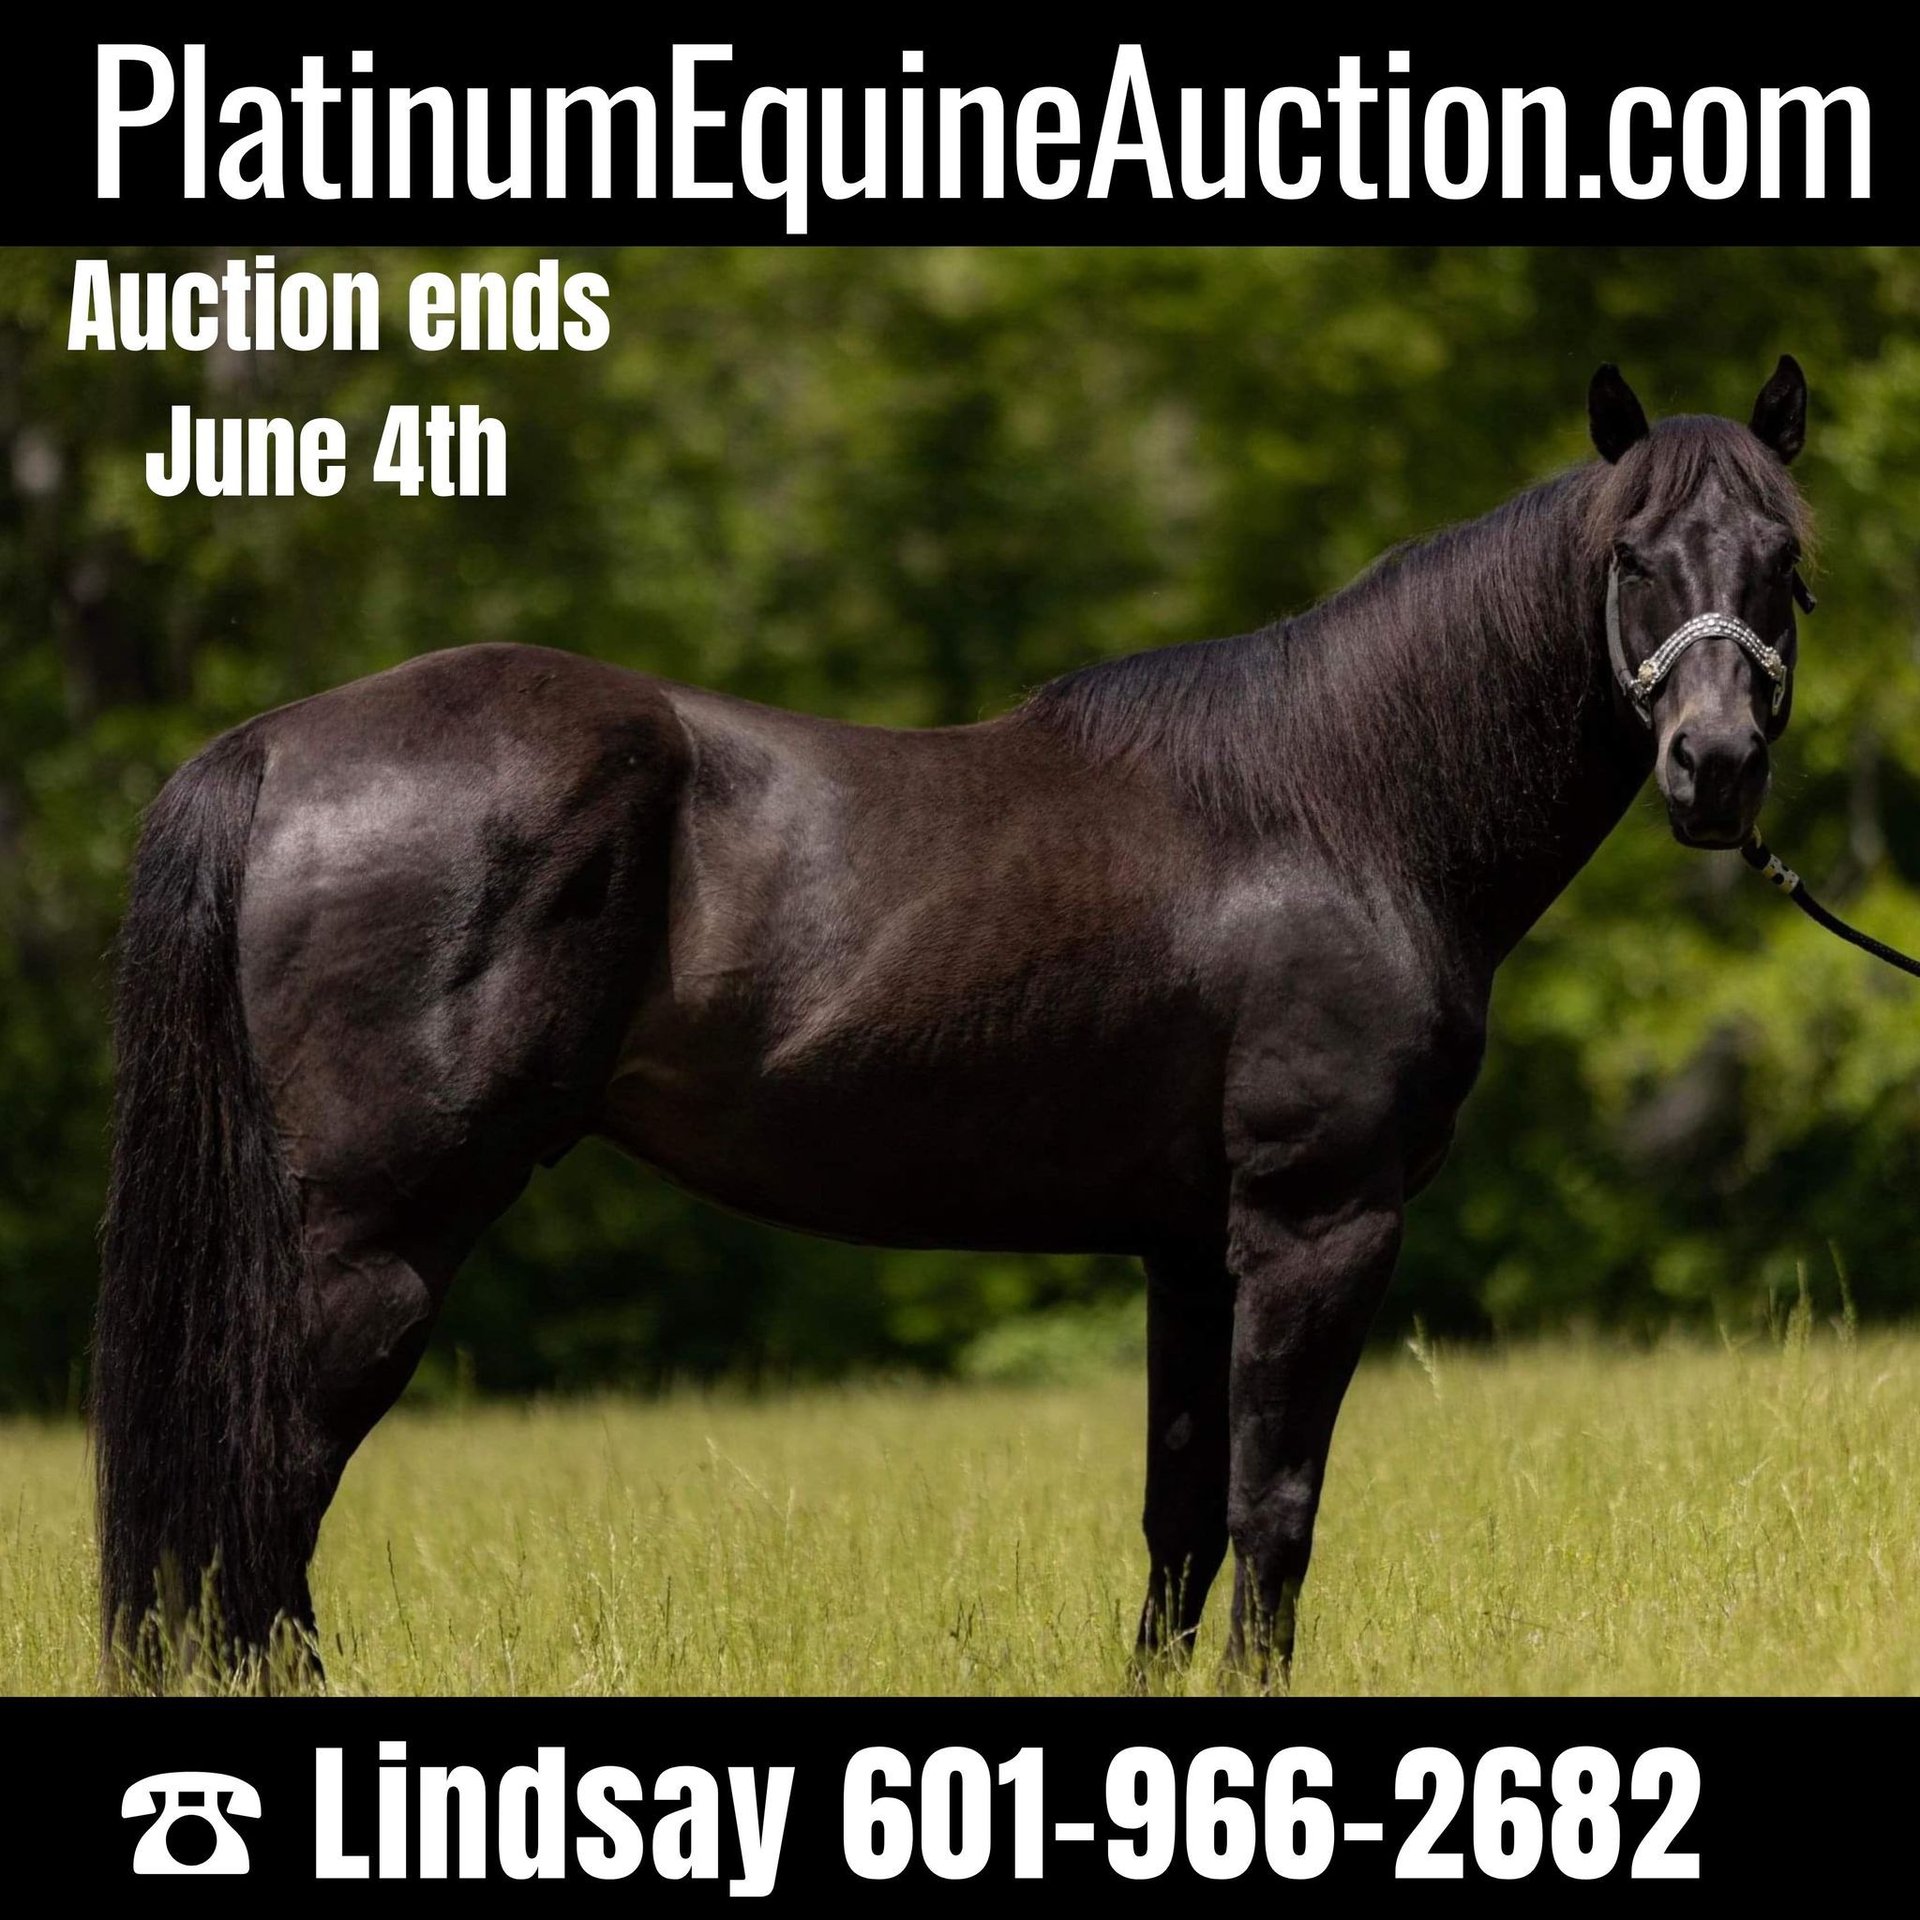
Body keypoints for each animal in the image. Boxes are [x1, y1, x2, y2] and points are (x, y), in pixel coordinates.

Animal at [93, 357, 1813, 1687]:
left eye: (1785, 560)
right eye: (1635, 557)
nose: (1716, 767)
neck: (1342, 809)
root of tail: (271, 748)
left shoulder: (1190, 1250)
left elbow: (1181, 1521)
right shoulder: (1317, 1227)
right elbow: (1275, 1509)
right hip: (375, 1241)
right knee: (266, 1496)